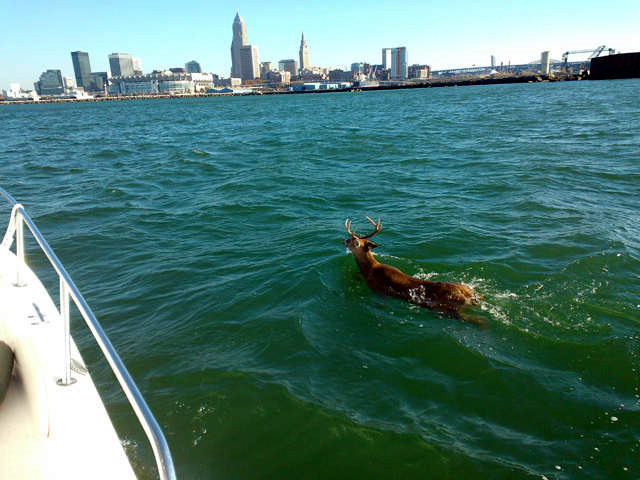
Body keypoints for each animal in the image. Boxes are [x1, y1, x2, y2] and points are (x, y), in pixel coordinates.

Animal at [344, 217, 484, 326]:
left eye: (352, 241)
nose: (344, 240)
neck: (369, 270)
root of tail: (468, 293)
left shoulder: (378, 290)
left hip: (451, 308)